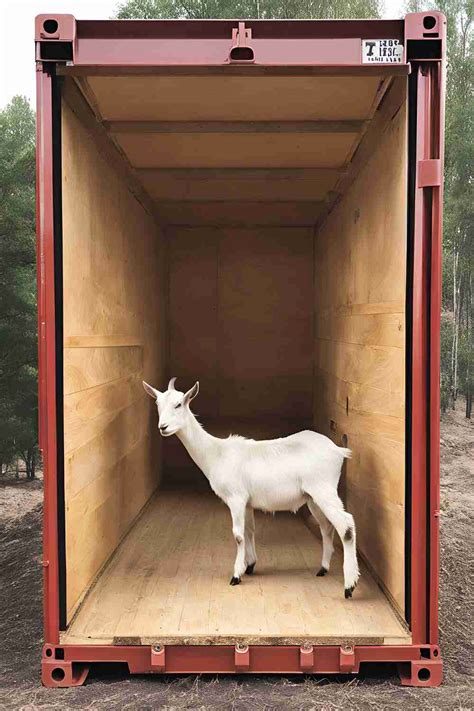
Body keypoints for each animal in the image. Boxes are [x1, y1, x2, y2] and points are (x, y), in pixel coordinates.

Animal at [143, 378, 360, 598]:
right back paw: (323, 568)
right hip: (313, 498)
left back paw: (349, 586)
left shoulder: (236, 498)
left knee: (346, 526)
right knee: (326, 527)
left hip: (323, 490)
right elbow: (249, 531)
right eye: (158, 404)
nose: (163, 427)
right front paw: (250, 565)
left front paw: (236, 575)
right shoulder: (247, 503)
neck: (217, 453)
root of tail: (338, 450)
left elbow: (238, 535)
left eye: (179, 404)